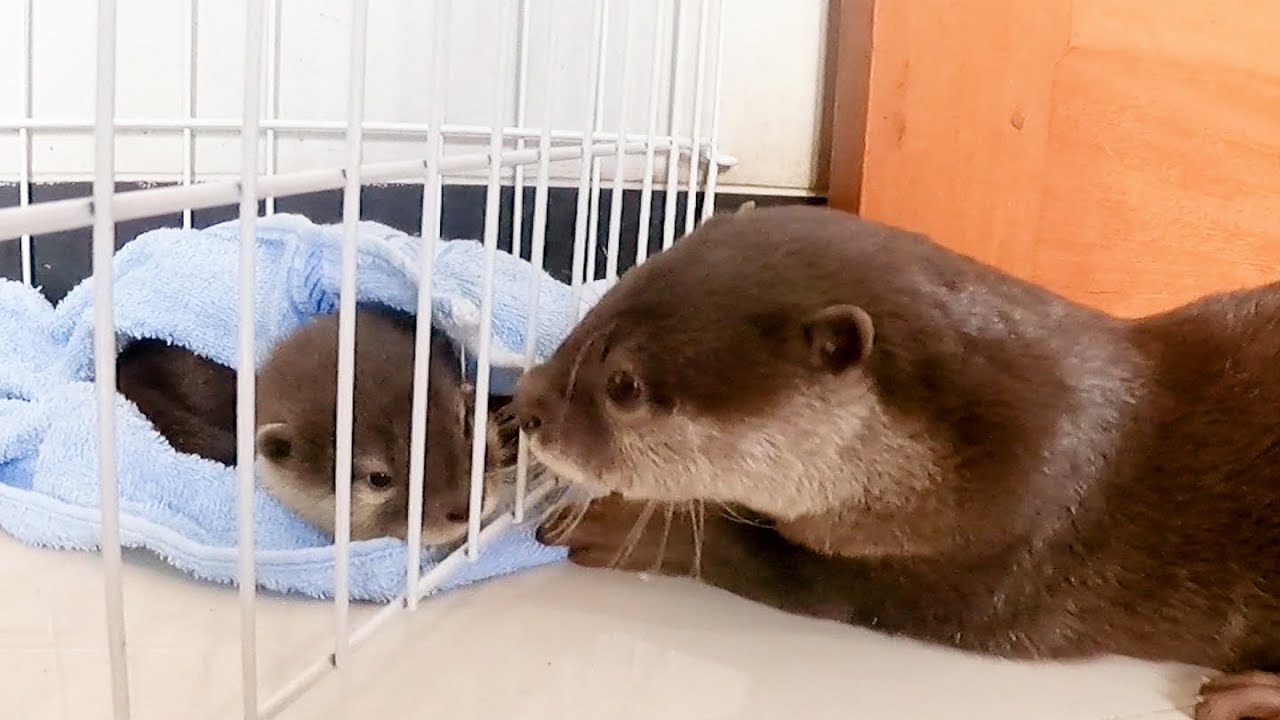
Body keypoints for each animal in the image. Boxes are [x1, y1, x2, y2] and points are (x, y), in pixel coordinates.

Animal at [511, 206, 1280, 720]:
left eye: (624, 384)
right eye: (594, 308)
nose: (525, 403)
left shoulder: (998, 553)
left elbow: (760, 559)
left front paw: (618, 522)